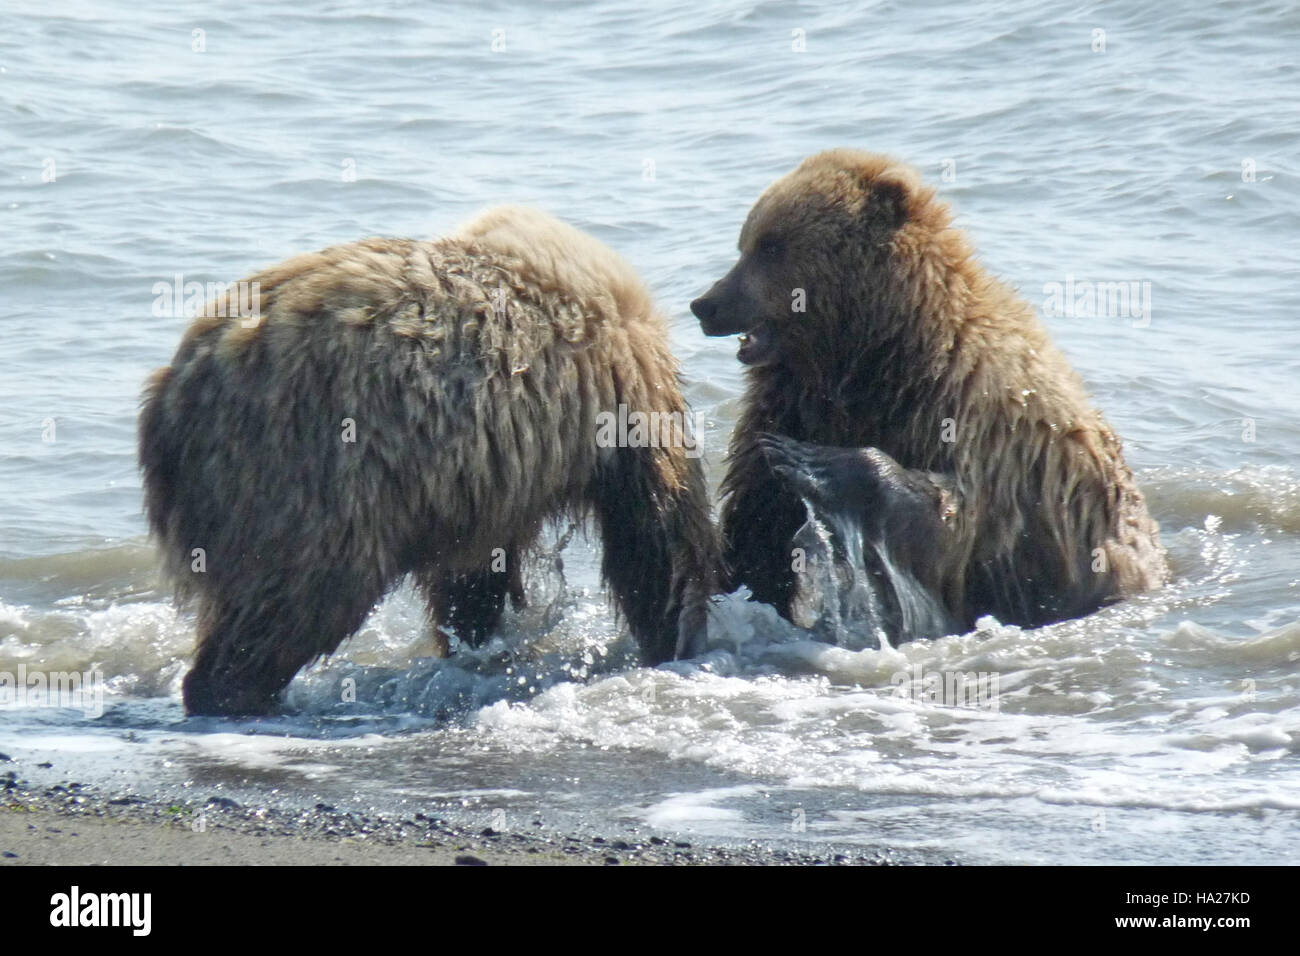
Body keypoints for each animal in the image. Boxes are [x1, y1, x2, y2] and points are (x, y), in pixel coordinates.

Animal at [140, 205, 718, 716]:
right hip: (304, 474)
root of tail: (170, 396)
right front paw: (671, 625)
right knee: (296, 595)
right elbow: (651, 537)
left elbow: (470, 574)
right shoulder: (610, 409)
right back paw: (238, 690)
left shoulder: (479, 477)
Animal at [690, 149, 1167, 644]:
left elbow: (948, 520)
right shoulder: (789, 402)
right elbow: (758, 522)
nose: (706, 304)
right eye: (746, 242)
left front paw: (809, 459)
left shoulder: (963, 412)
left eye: (771, 246)